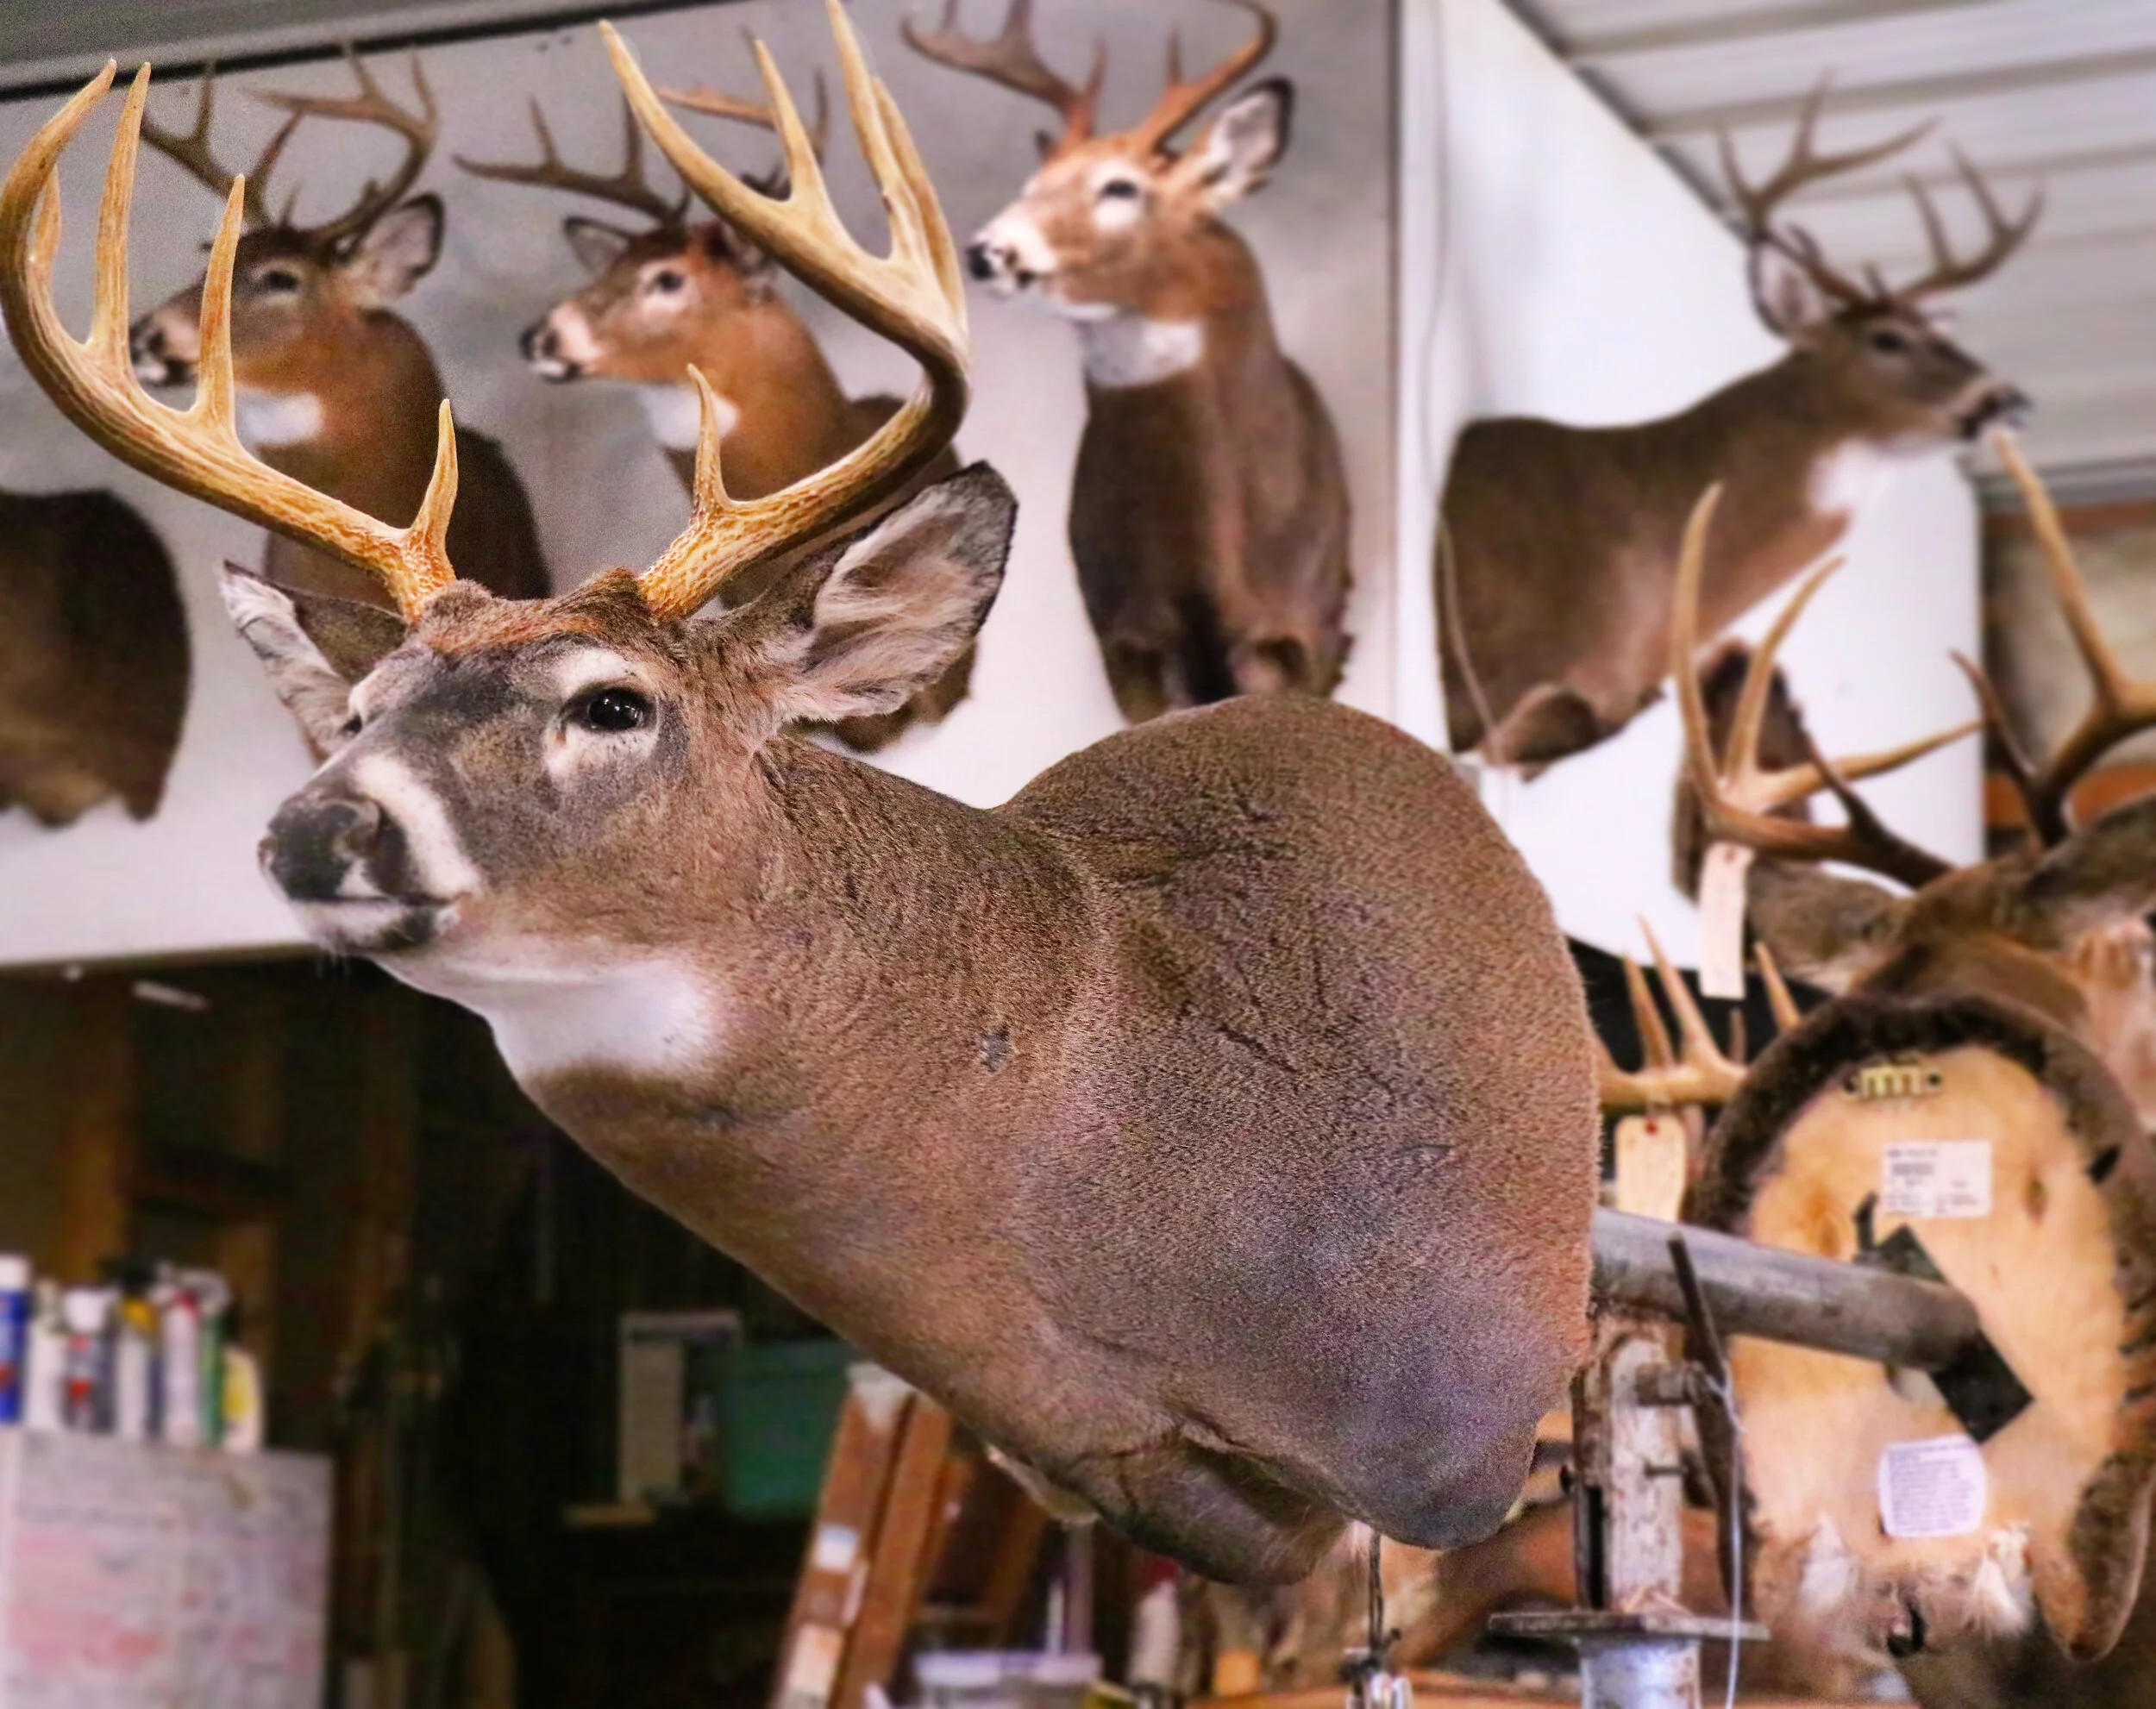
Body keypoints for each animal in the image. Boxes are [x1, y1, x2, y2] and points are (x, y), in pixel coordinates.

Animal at [904, 0, 1352, 724]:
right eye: (1031, 185)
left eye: (1121, 187)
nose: (987, 251)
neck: (1208, 567)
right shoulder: (1130, 642)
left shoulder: (1298, 630)